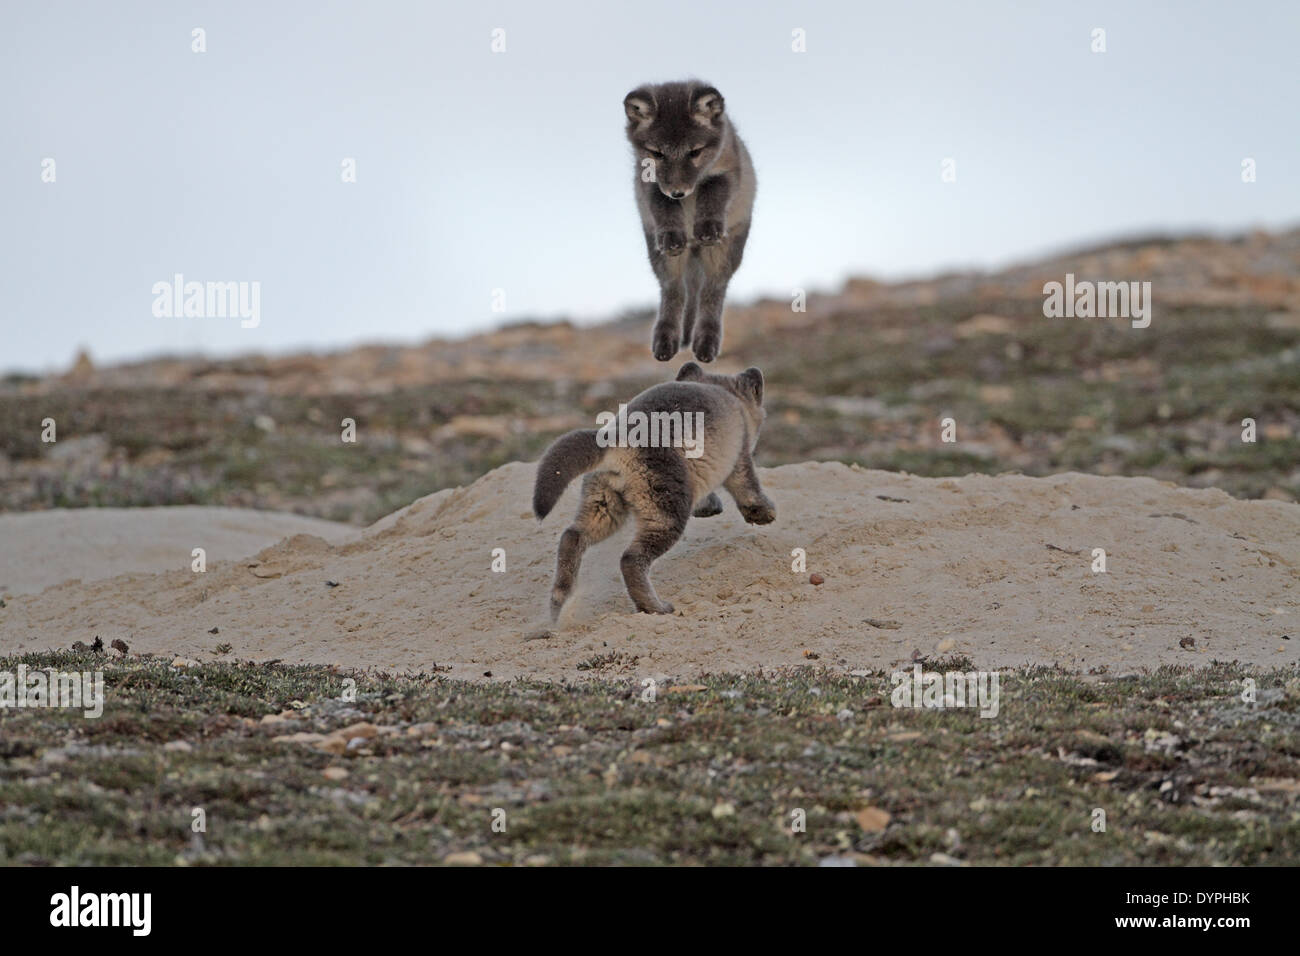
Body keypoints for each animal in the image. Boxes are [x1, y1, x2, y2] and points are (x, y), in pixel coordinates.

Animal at [534, 362, 774, 619]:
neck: (727, 395)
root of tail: (616, 441)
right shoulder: (740, 458)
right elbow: (748, 489)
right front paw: (763, 513)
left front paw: (709, 506)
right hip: (665, 512)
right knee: (630, 559)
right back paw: (655, 608)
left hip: (603, 504)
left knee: (572, 536)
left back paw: (558, 602)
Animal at [624, 80, 756, 364]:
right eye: (657, 153)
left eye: (695, 151)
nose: (678, 193)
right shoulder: (650, 184)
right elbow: (664, 211)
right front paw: (673, 235)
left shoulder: (725, 172)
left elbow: (712, 197)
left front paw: (707, 227)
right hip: (664, 261)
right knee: (674, 291)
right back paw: (666, 344)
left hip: (722, 259)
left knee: (711, 294)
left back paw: (705, 345)